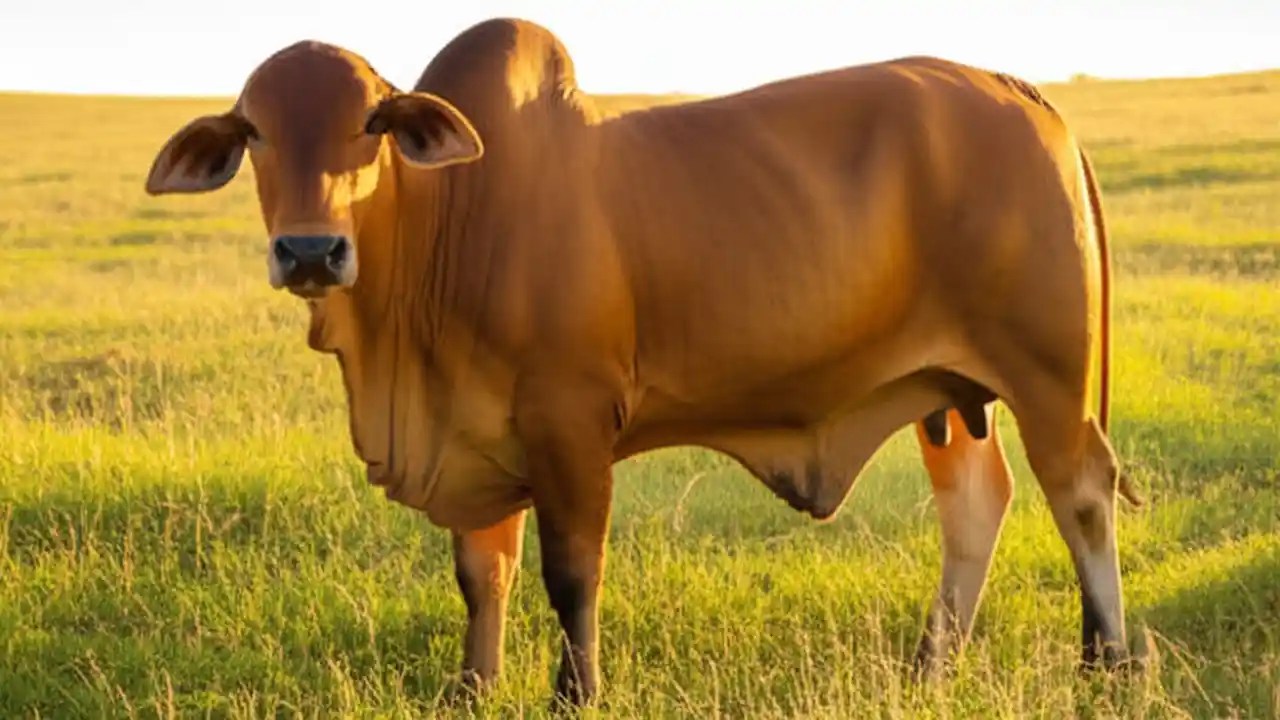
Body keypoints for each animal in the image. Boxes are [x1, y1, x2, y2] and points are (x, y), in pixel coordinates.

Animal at [144, 17, 1142, 706]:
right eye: (253, 131)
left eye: (372, 123)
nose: (311, 251)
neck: (452, 217)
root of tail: (1026, 94)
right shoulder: (471, 432)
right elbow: (482, 574)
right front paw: (473, 688)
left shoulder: (570, 423)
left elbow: (571, 571)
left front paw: (573, 693)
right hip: (945, 389)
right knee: (976, 501)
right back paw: (932, 665)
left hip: (1046, 373)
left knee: (1080, 494)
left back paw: (1107, 663)